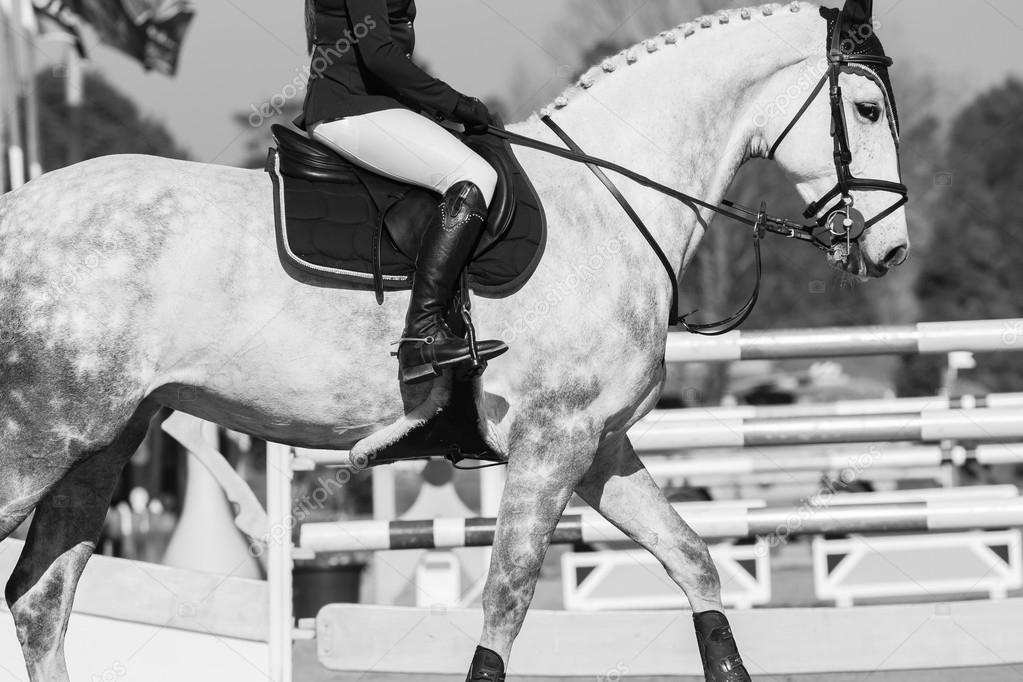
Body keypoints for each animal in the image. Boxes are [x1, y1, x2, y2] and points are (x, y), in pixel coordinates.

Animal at [0, 1, 908, 679]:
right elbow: (506, 598)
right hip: (40, 437)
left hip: (103, 447)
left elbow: (693, 561)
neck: (609, 199)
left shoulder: (598, 446)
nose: (891, 250)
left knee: (41, 601)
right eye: (865, 110)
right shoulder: (549, 445)